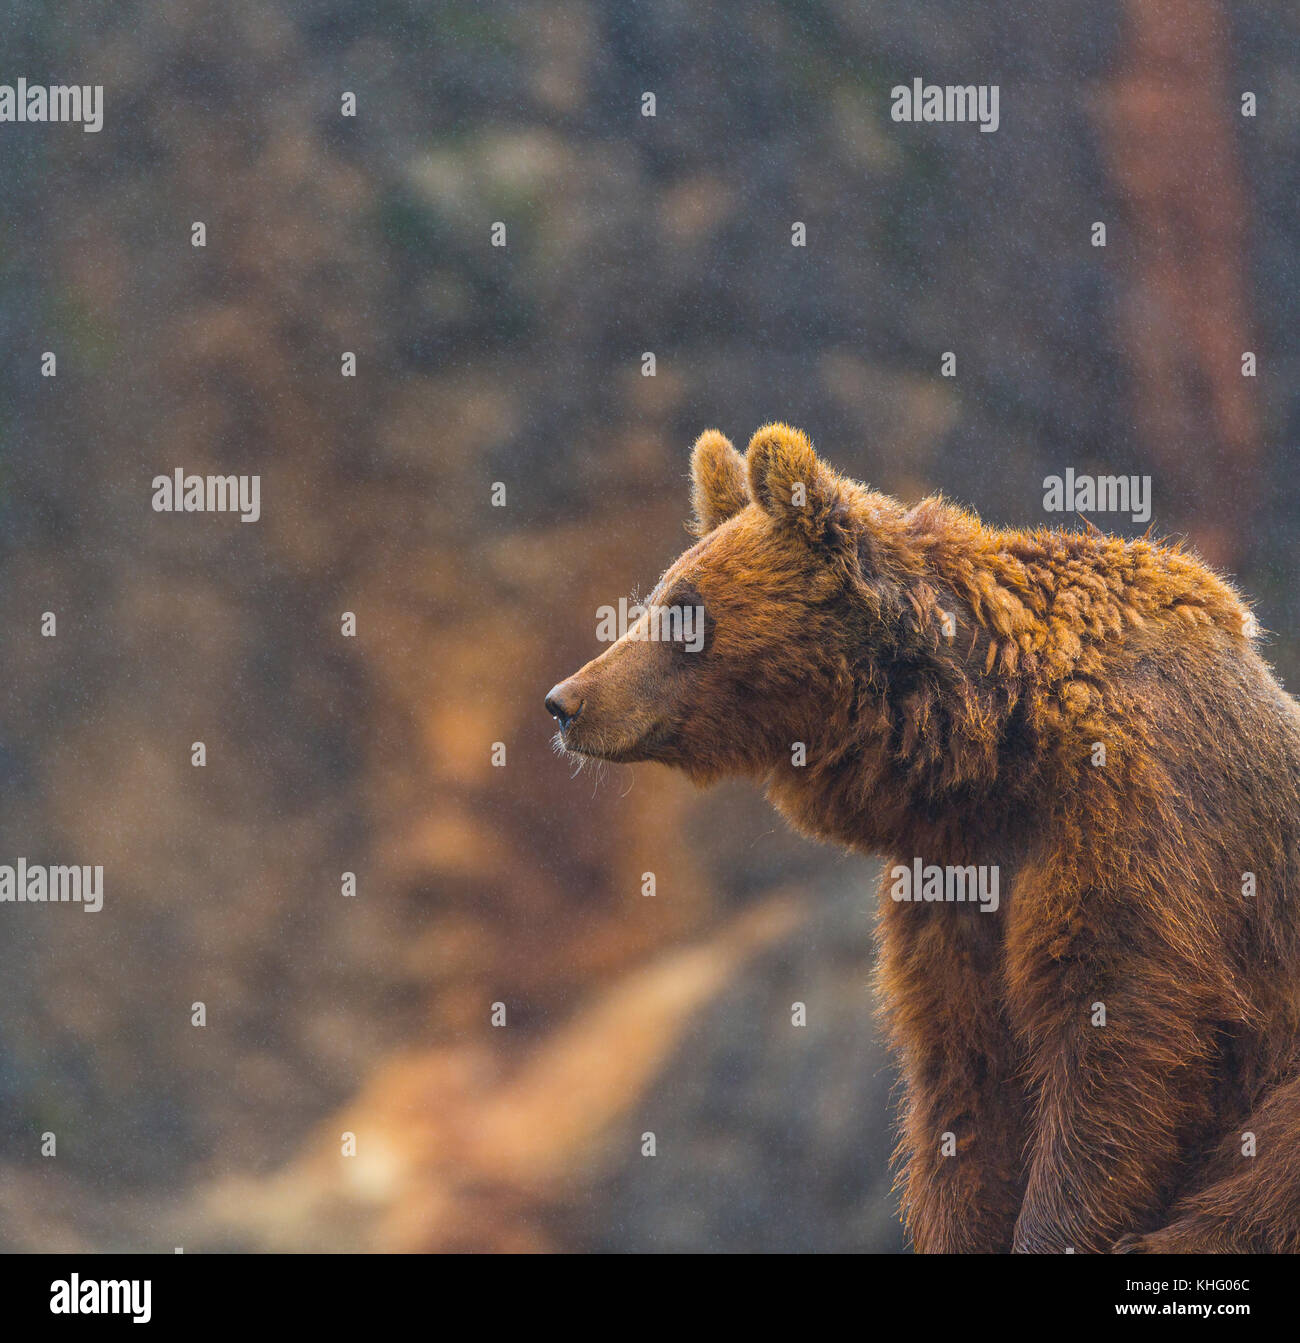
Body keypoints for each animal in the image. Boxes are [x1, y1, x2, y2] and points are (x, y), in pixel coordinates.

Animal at [544, 423, 1300, 1253]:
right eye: (658, 597)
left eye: (683, 609)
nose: (566, 700)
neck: (999, 745)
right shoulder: (953, 879)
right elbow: (967, 1079)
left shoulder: (1134, 822)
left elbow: (1120, 1039)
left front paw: (1056, 1224)